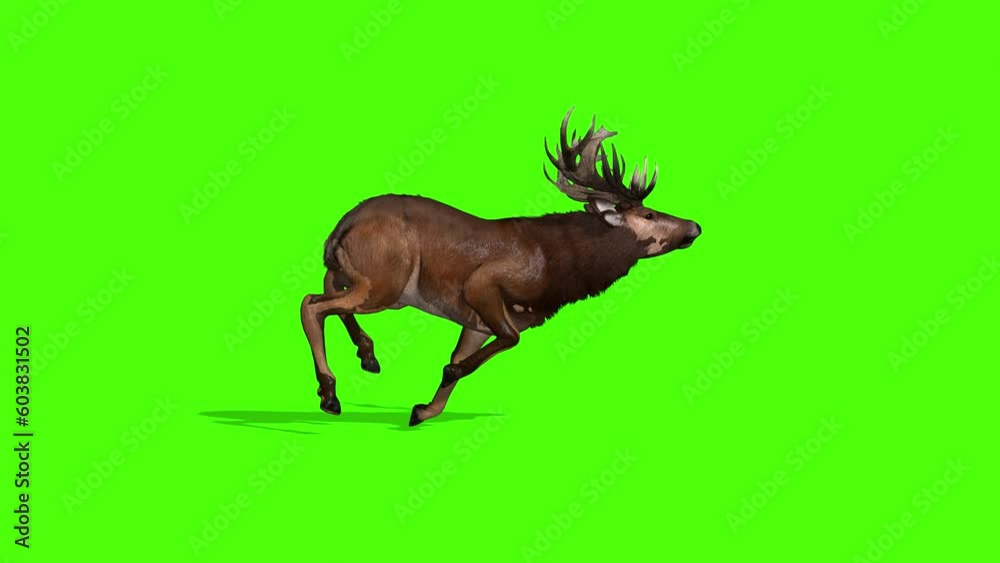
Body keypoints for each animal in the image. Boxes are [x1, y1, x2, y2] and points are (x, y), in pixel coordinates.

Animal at [300, 108, 702, 426]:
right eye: (649, 214)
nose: (694, 227)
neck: (558, 271)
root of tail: (340, 228)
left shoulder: (477, 321)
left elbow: (462, 359)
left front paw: (423, 410)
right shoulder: (483, 284)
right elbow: (508, 339)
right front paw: (442, 383)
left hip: (361, 277)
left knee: (327, 292)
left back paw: (367, 356)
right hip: (387, 281)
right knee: (311, 304)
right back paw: (330, 395)